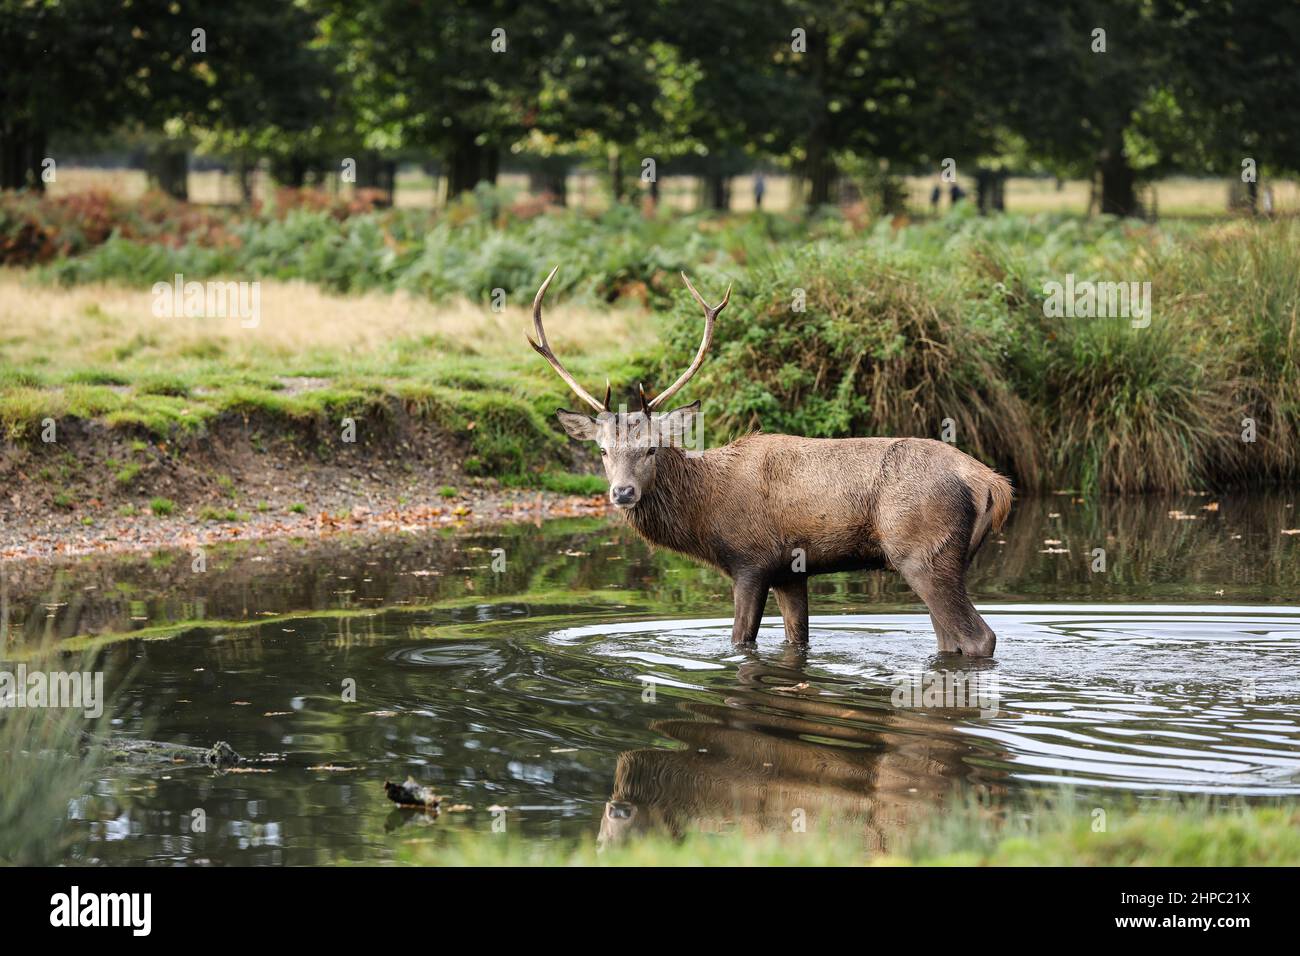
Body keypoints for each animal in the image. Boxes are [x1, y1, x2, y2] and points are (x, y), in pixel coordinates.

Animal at [527, 267, 1013, 657]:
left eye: (651, 448)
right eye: (602, 450)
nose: (623, 491)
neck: (704, 512)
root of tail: (993, 484)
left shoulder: (751, 561)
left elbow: (741, 641)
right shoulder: (790, 571)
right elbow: (798, 639)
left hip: (923, 551)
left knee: (977, 637)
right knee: (949, 638)